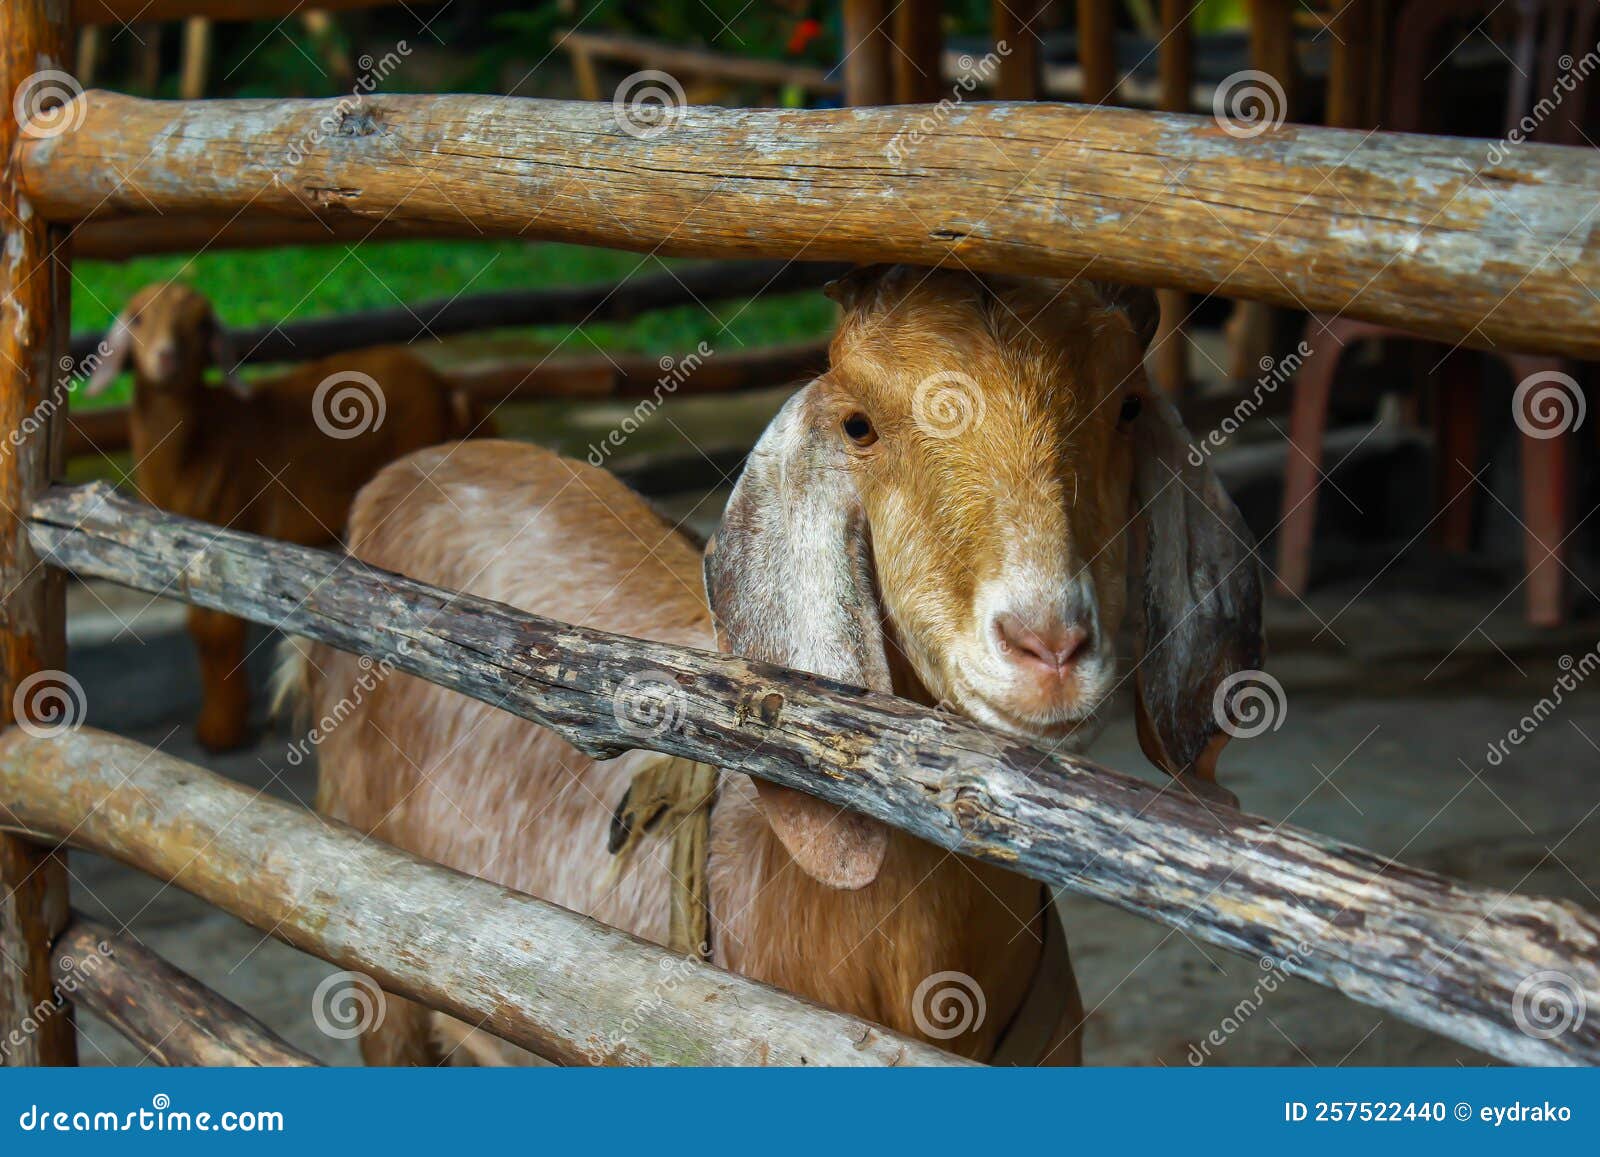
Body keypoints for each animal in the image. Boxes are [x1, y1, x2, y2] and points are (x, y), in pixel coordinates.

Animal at [87, 281, 484, 752]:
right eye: (137, 317)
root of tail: (446, 387)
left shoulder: (232, 531)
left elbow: (222, 629)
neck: (204, 442)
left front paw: (224, 735)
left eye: (201, 325)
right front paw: (216, 726)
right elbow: (201, 629)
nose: (166, 358)